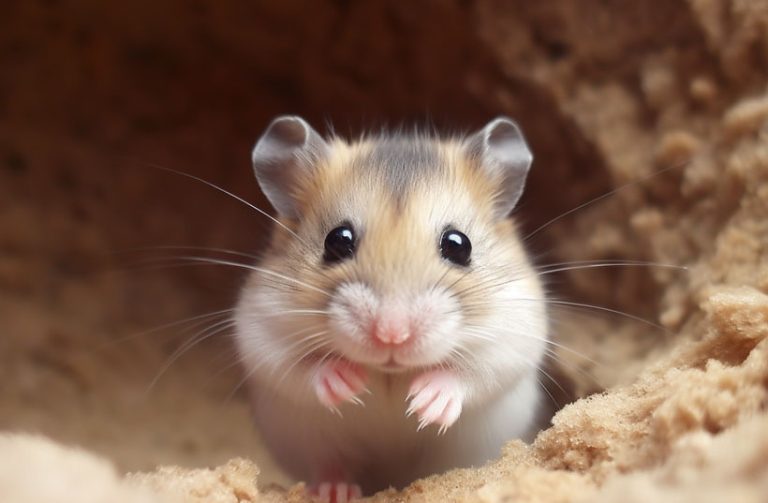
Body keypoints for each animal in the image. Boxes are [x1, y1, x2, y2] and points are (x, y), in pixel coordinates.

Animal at [233, 115, 548, 500]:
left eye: (459, 245)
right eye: (337, 240)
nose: (391, 336)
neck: (390, 373)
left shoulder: (513, 335)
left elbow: (471, 373)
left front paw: (425, 401)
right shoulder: (262, 328)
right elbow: (300, 367)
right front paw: (348, 381)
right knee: (329, 464)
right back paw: (336, 491)